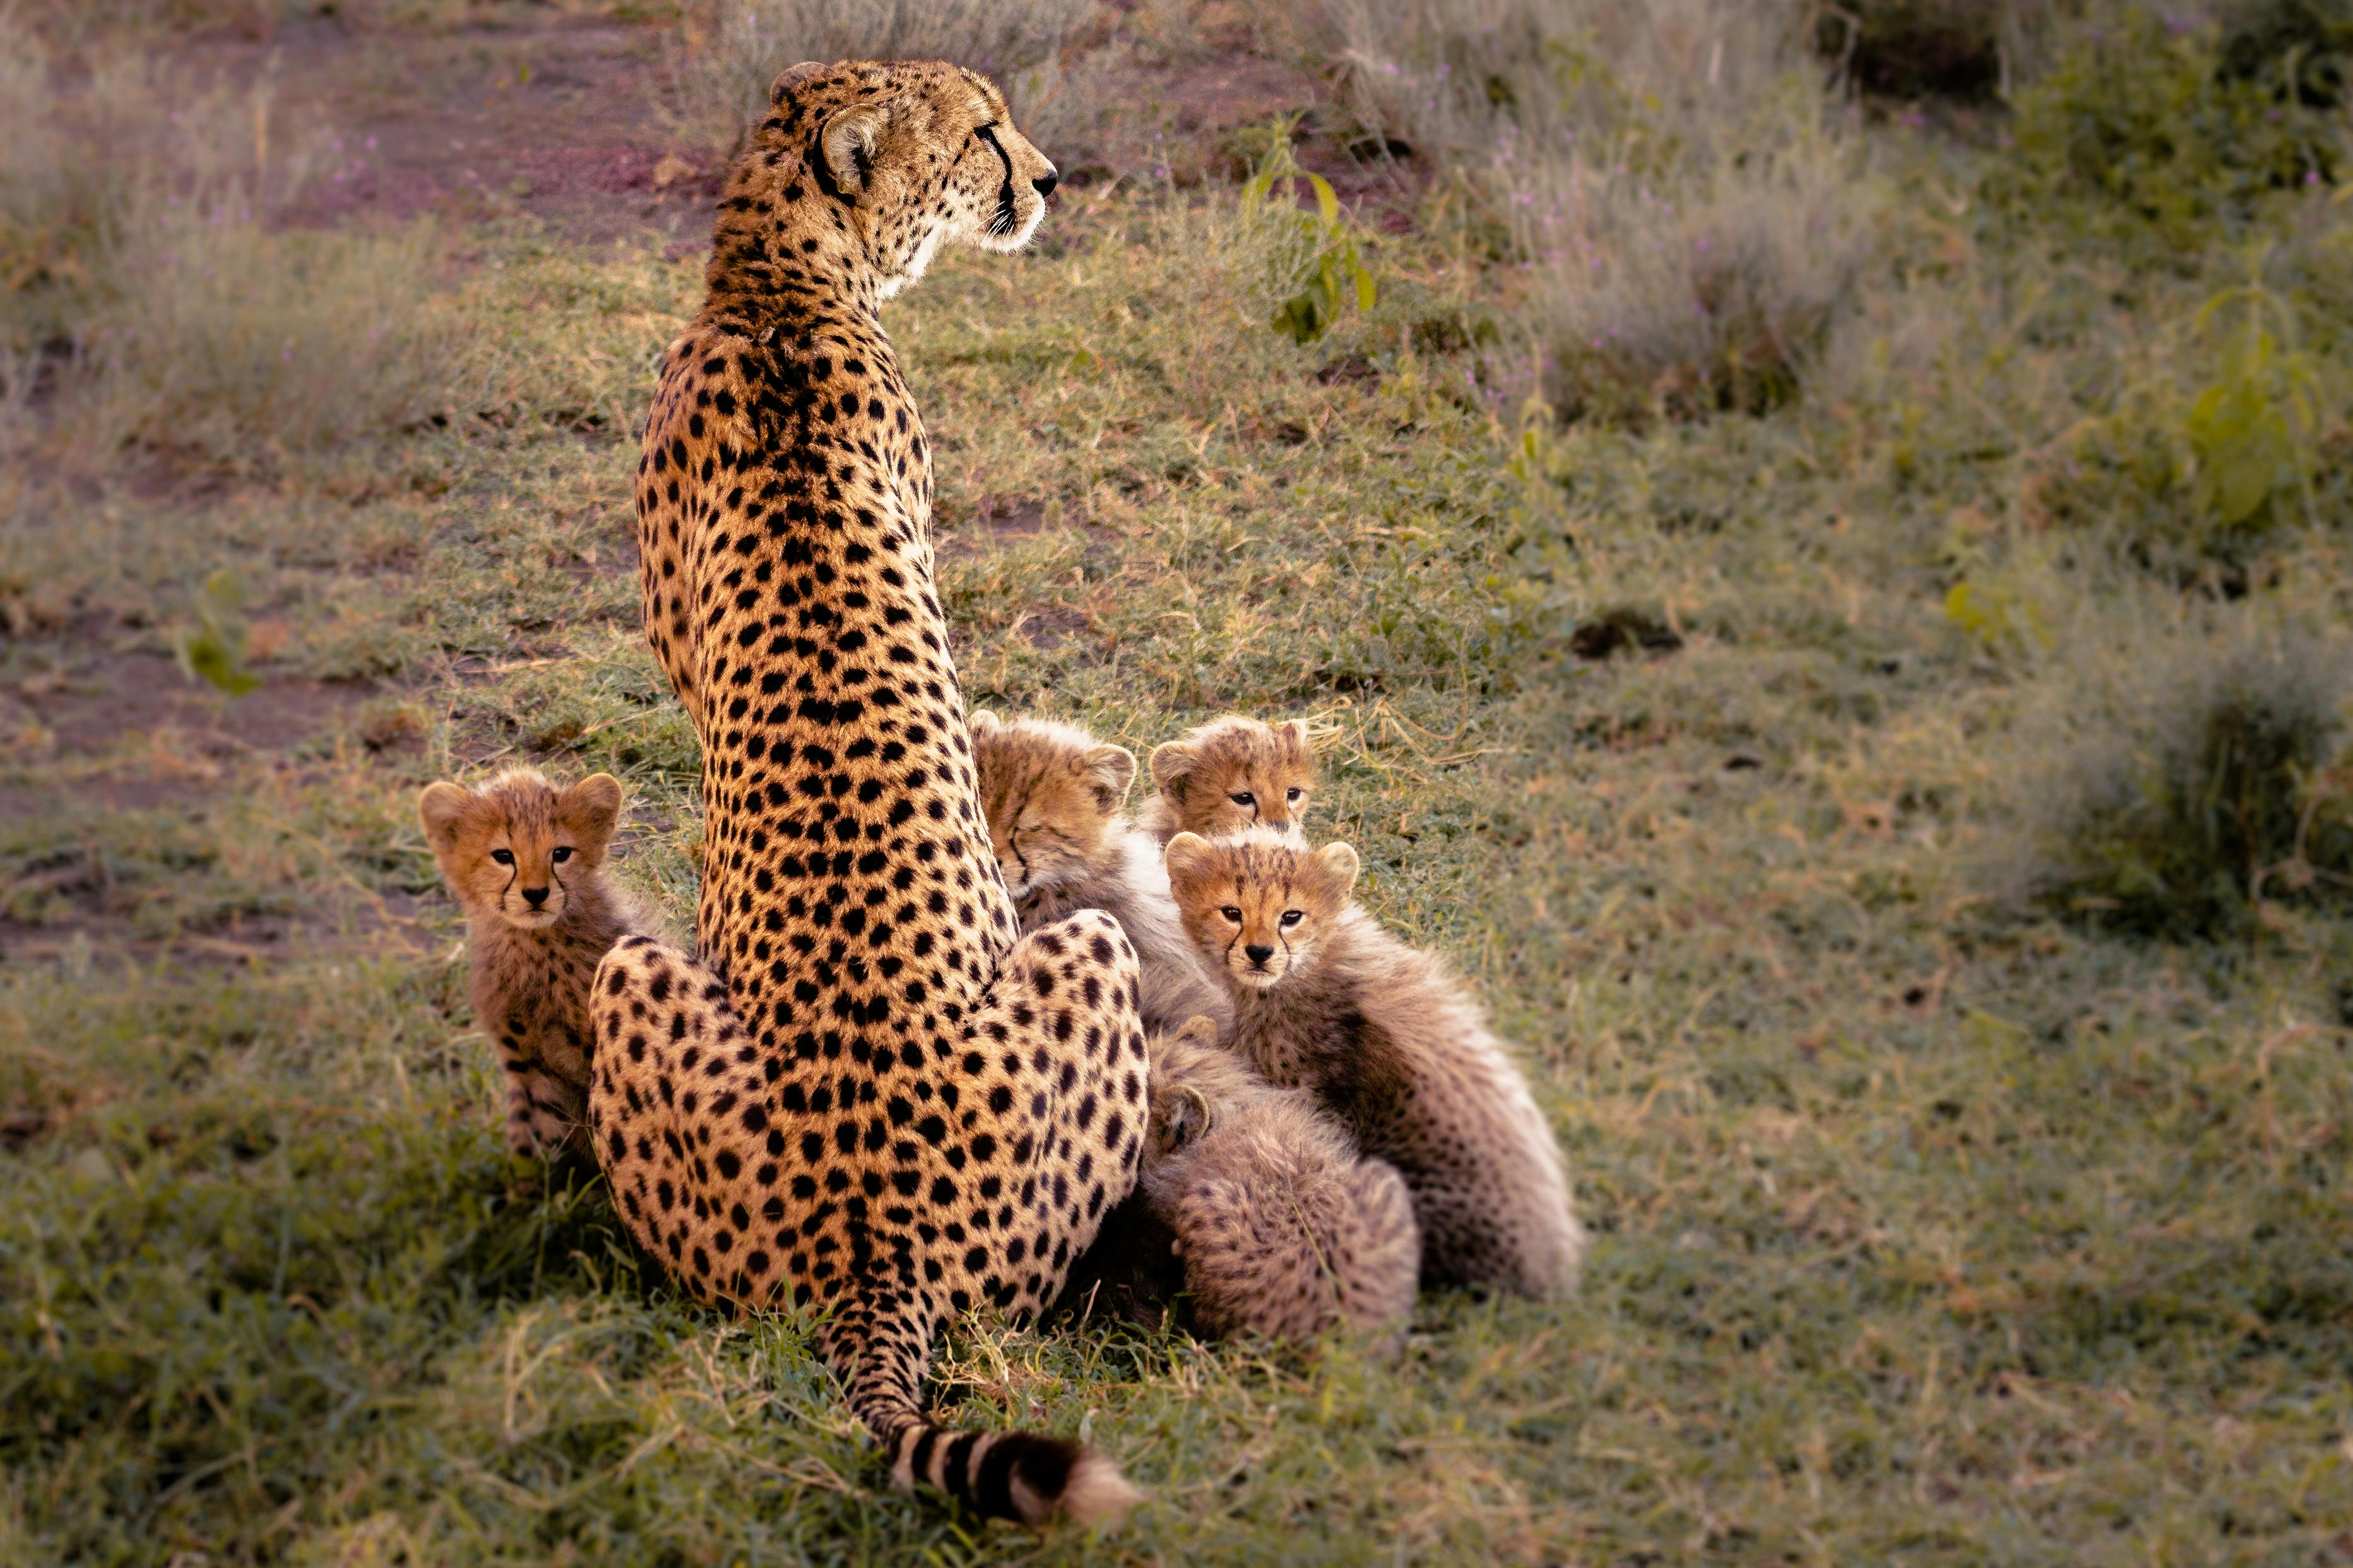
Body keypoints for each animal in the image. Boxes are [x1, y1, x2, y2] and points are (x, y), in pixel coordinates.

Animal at [587, 58, 1147, 1526]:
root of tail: (868, 1238)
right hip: (1085, 943)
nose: (1050, 177)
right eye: (979, 131)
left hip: (639, 980)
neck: (778, 281)